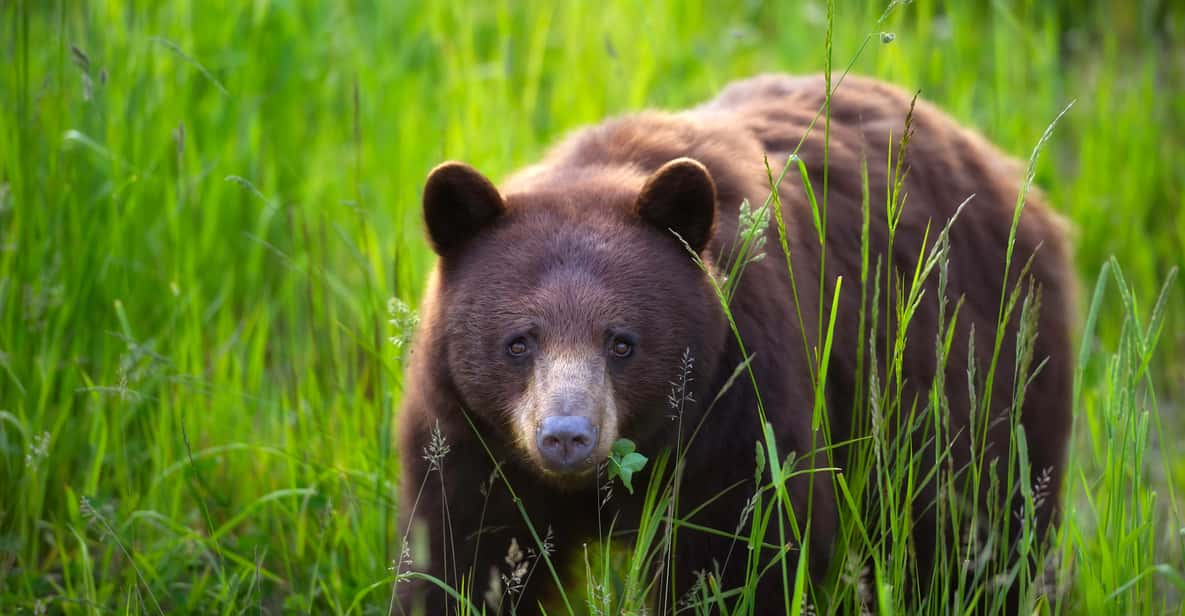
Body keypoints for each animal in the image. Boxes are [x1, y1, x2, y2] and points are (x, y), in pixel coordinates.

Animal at [395, 74, 1073, 615]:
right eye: (518, 342)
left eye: (622, 343)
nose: (567, 436)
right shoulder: (469, 439)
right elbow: (463, 556)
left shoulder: (738, 402)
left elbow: (739, 551)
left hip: (980, 371)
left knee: (981, 528)